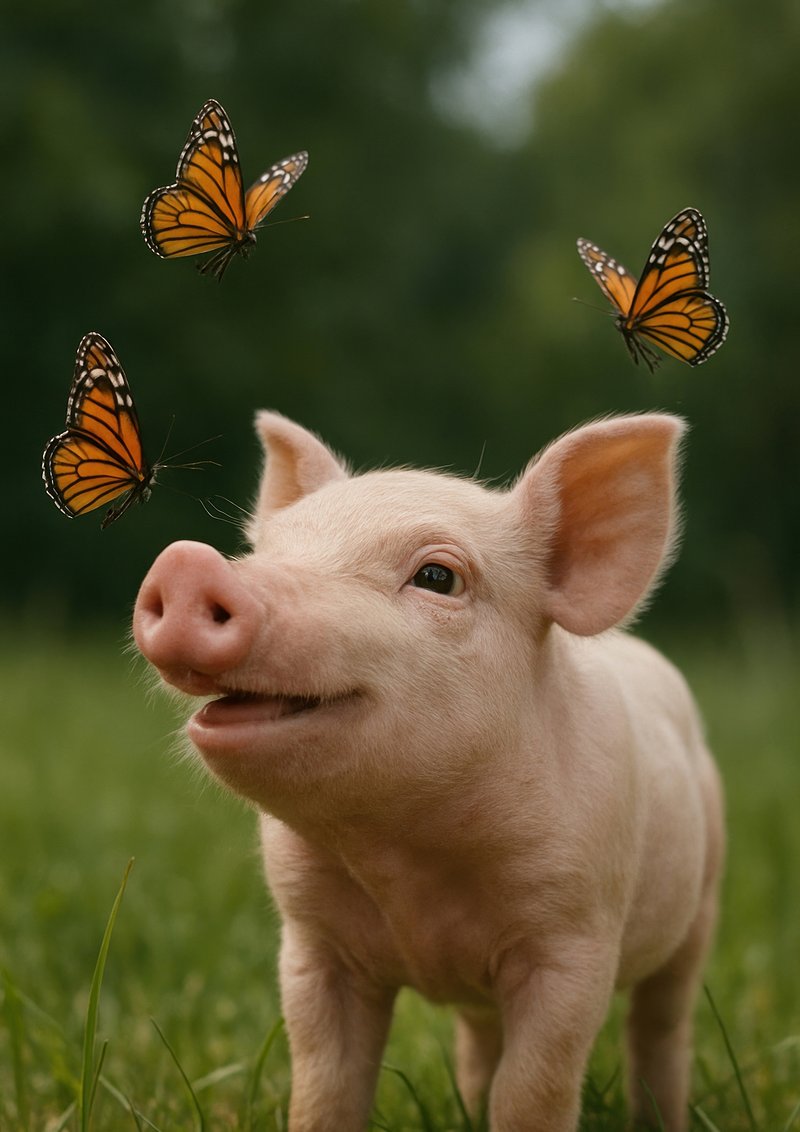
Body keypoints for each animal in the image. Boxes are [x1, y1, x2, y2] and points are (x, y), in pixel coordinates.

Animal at [133, 410, 724, 1132]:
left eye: (437, 577)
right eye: (266, 551)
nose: (186, 561)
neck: (409, 866)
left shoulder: (575, 936)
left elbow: (533, 1090)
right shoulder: (311, 942)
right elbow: (324, 1083)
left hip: (703, 895)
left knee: (661, 1024)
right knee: (480, 1039)